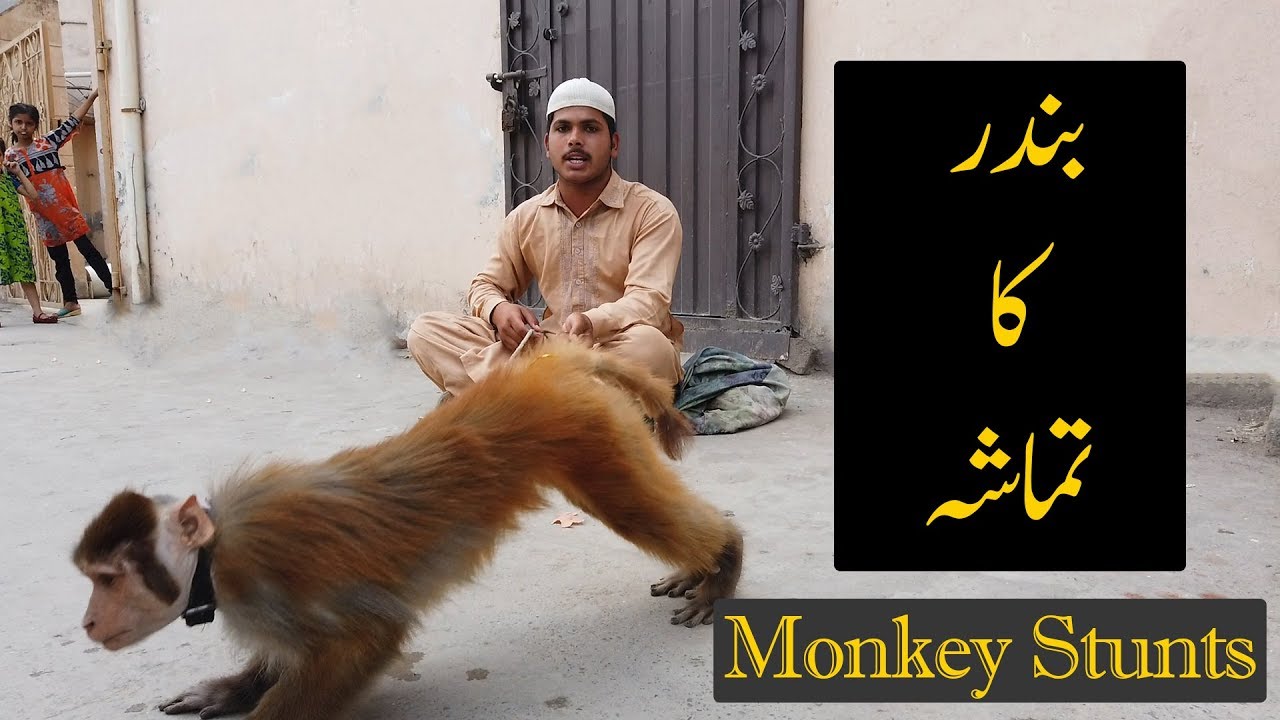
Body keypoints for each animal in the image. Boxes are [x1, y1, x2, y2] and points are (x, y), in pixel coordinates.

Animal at [72, 334, 744, 720]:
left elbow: (369, 637)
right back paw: (698, 566)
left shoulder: (271, 574)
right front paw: (230, 690)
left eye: (109, 579)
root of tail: (545, 365)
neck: (215, 558)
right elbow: (294, 652)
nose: (88, 622)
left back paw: (723, 562)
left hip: (586, 428)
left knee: (628, 505)